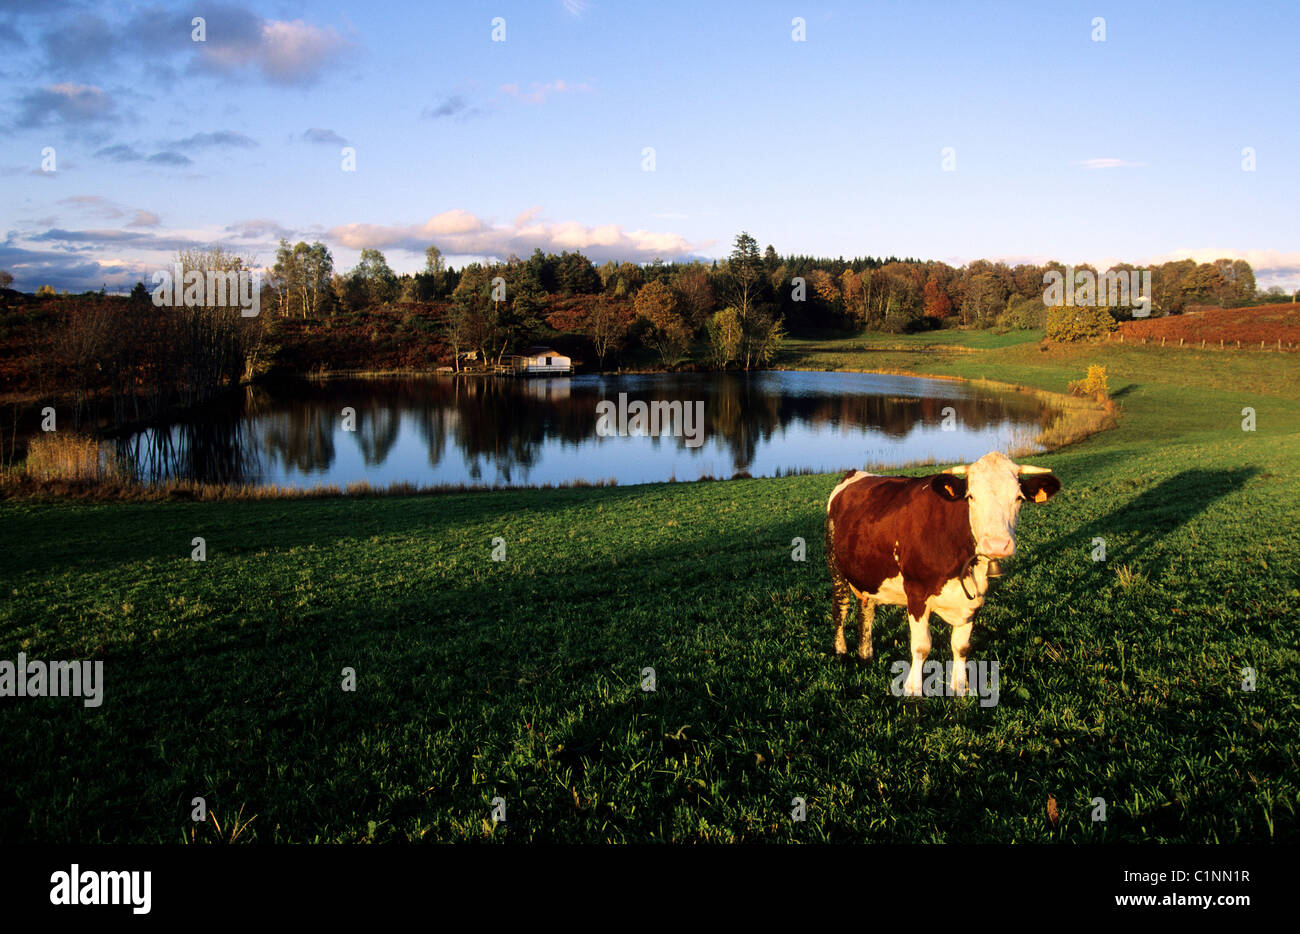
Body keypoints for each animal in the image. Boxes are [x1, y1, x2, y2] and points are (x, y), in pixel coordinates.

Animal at [824, 451, 1061, 697]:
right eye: (971, 496)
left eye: (1018, 498)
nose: (997, 544)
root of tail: (855, 473)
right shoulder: (916, 592)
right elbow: (921, 646)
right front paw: (913, 689)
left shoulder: (975, 597)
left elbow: (961, 646)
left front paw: (960, 687)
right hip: (835, 567)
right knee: (839, 610)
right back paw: (841, 652)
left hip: (869, 575)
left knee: (866, 611)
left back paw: (866, 655)